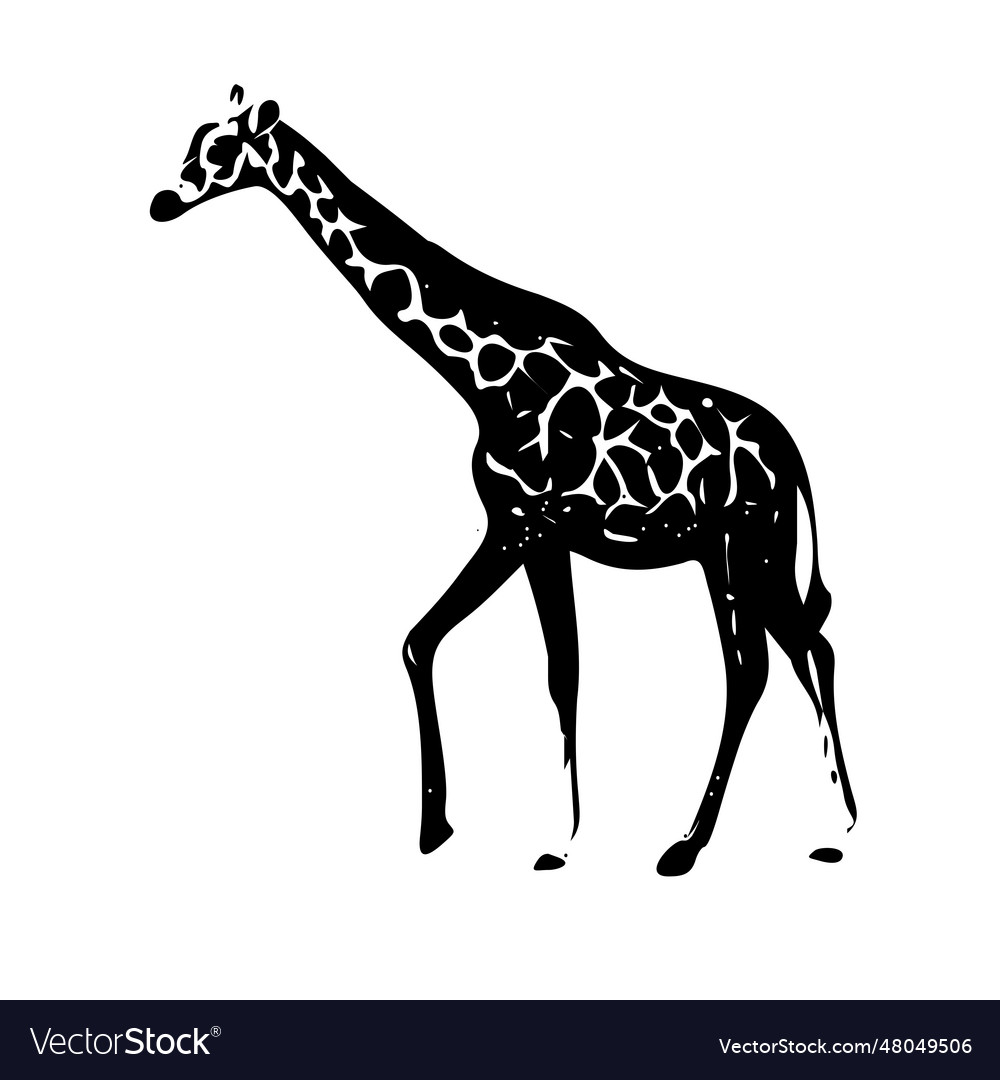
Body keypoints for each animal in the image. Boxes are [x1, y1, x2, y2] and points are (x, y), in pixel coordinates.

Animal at [151, 87, 857, 875]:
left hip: (744, 546)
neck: (482, 377)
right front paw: (451, 827)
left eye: (219, 151)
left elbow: (552, 670)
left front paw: (549, 839)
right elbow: (450, 647)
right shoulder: (524, 531)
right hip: (737, 553)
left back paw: (706, 842)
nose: (160, 201)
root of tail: (793, 459)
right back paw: (823, 828)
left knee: (764, 664)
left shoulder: (526, 527)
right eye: (191, 139)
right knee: (796, 654)